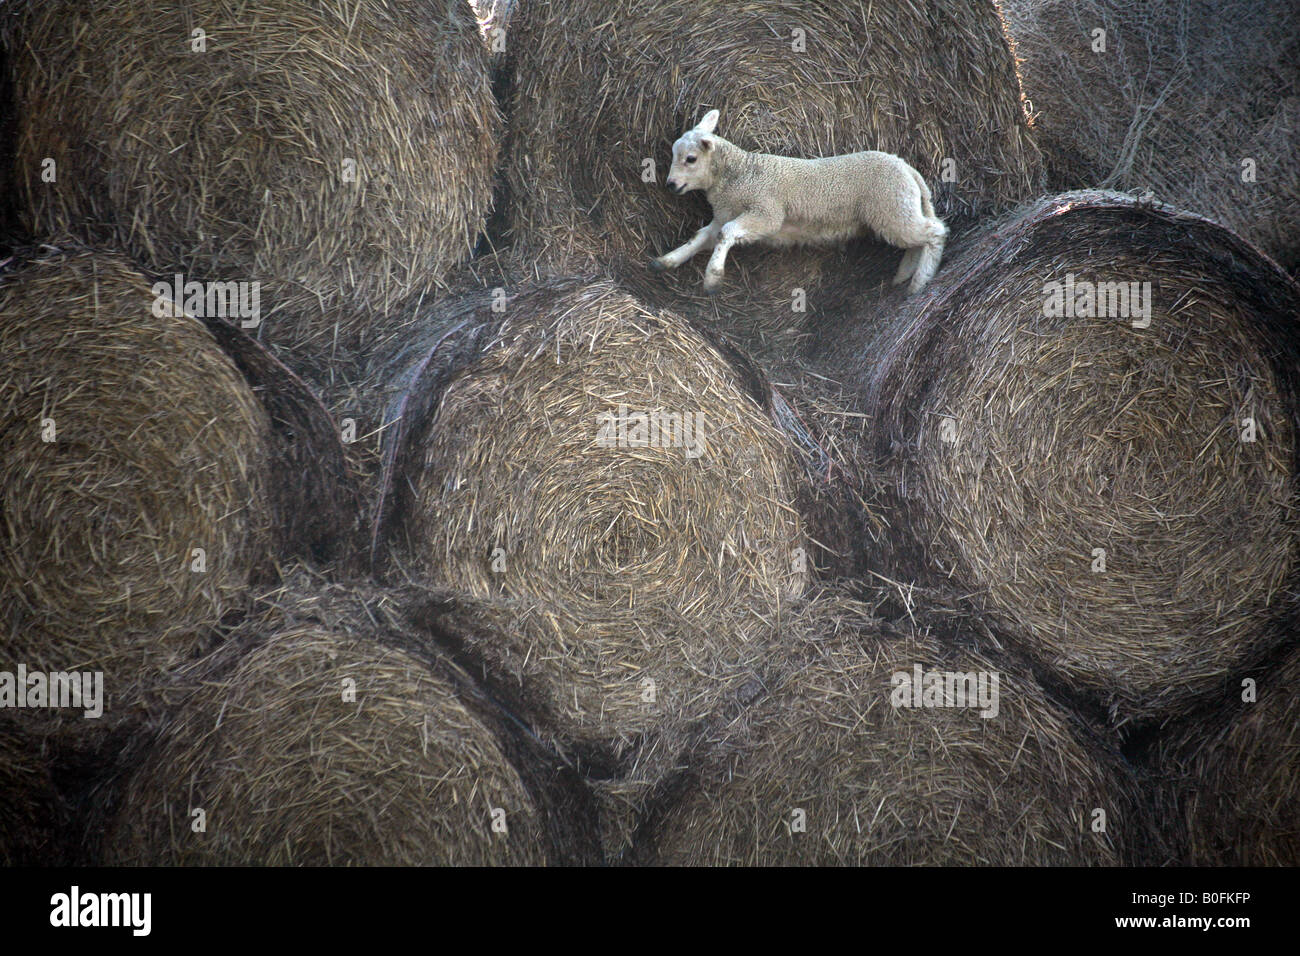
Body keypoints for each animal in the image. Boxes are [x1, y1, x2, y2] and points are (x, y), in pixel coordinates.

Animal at [649, 109, 948, 294]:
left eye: (690, 159)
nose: (671, 184)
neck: (739, 174)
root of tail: (907, 168)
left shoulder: (766, 213)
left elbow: (727, 233)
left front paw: (712, 278)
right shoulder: (725, 213)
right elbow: (702, 237)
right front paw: (666, 261)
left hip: (892, 207)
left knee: (935, 232)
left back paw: (920, 282)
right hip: (899, 207)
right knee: (918, 239)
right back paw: (905, 274)